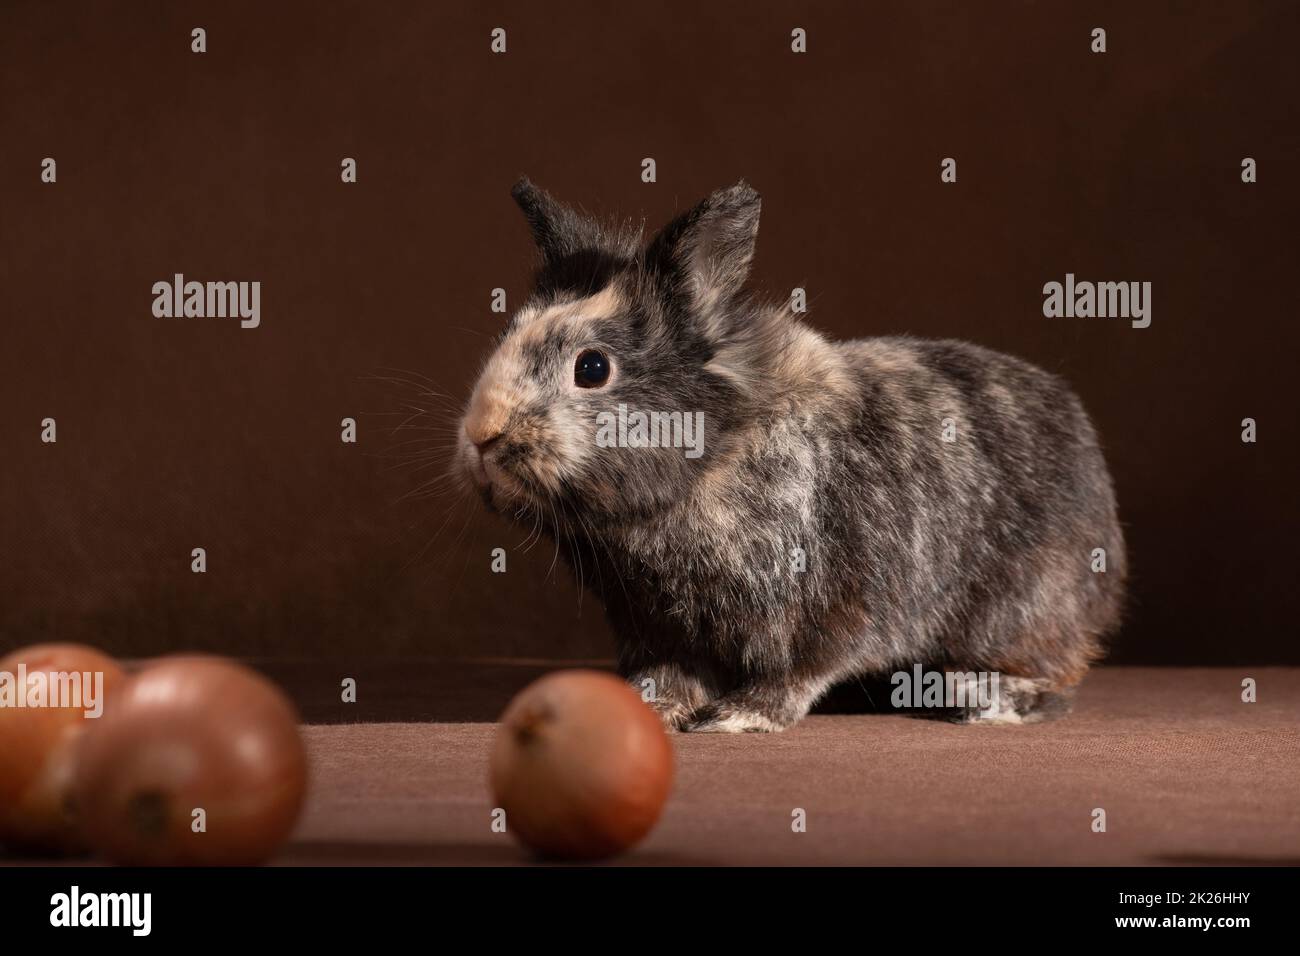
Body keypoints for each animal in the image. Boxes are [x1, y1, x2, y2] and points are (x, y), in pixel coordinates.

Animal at [456, 177, 1126, 732]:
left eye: (592, 368)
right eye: (507, 334)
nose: (483, 435)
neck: (716, 456)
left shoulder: (834, 605)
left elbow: (800, 671)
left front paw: (741, 717)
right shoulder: (657, 627)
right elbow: (669, 675)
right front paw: (656, 708)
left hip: (1022, 612)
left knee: (1055, 682)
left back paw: (977, 696)